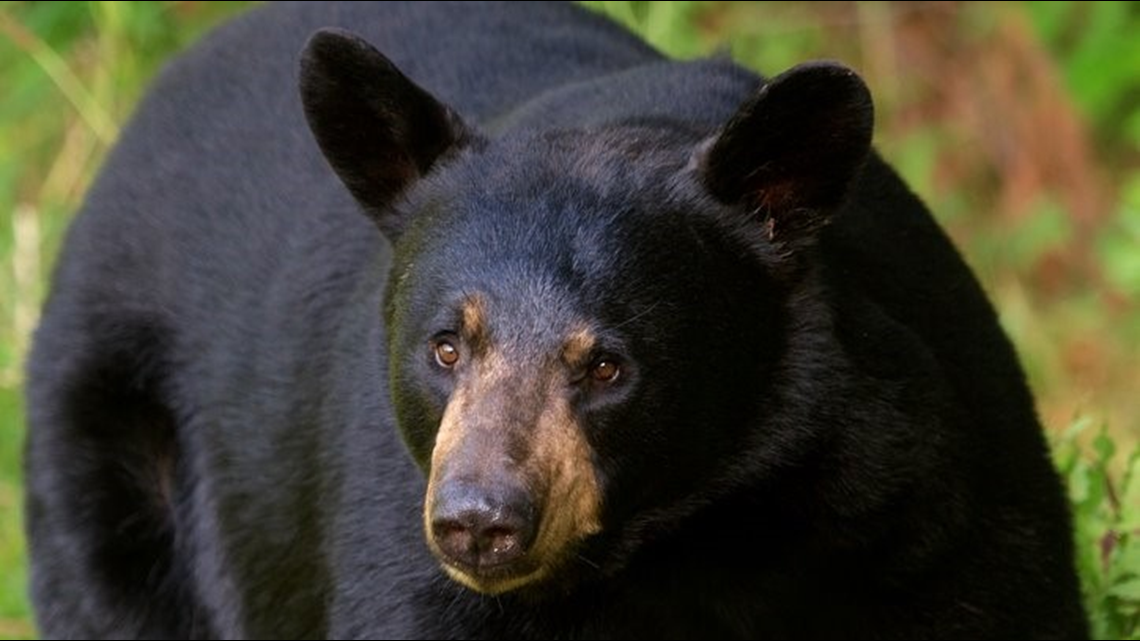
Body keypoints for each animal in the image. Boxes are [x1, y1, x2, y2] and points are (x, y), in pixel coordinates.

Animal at [24, 1, 1087, 638]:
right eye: (446, 345)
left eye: (608, 364)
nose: (481, 522)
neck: (702, 530)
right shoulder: (401, 544)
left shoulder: (935, 482)